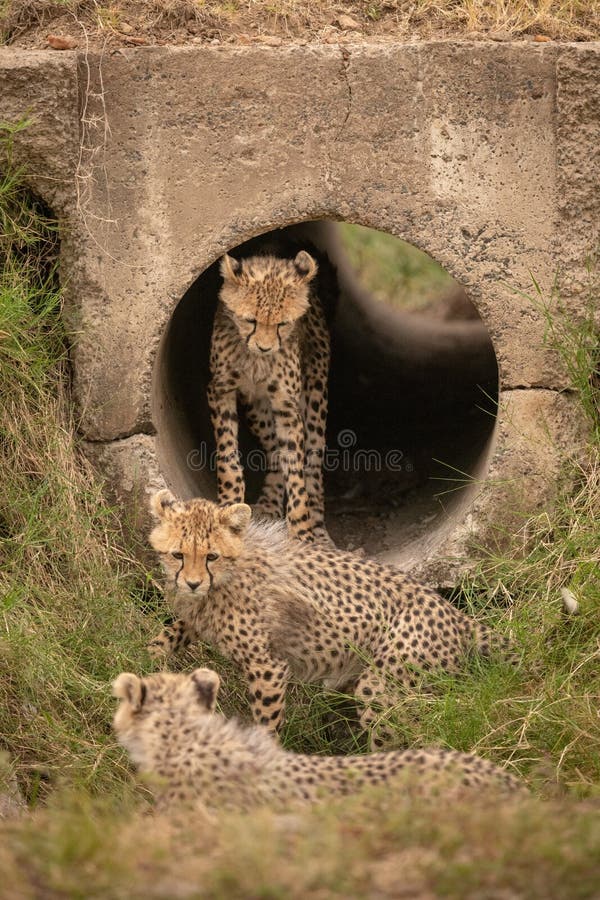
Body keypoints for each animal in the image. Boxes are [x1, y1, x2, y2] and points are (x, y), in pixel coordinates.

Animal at [147, 490, 516, 749]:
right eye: (178, 554)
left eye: (211, 556)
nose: (193, 582)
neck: (229, 574)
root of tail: (455, 614)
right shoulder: (197, 615)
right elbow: (171, 633)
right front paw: (146, 663)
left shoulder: (267, 665)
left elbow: (266, 720)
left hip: (383, 683)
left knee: (424, 727)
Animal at [209, 237, 336, 542]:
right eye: (250, 320)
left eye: (283, 324)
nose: (265, 347)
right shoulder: (221, 391)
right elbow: (228, 458)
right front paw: (229, 506)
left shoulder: (286, 406)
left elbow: (297, 473)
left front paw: (302, 532)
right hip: (256, 407)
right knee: (273, 449)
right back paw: (268, 504)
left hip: (316, 397)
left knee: (313, 465)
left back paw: (319, 526)